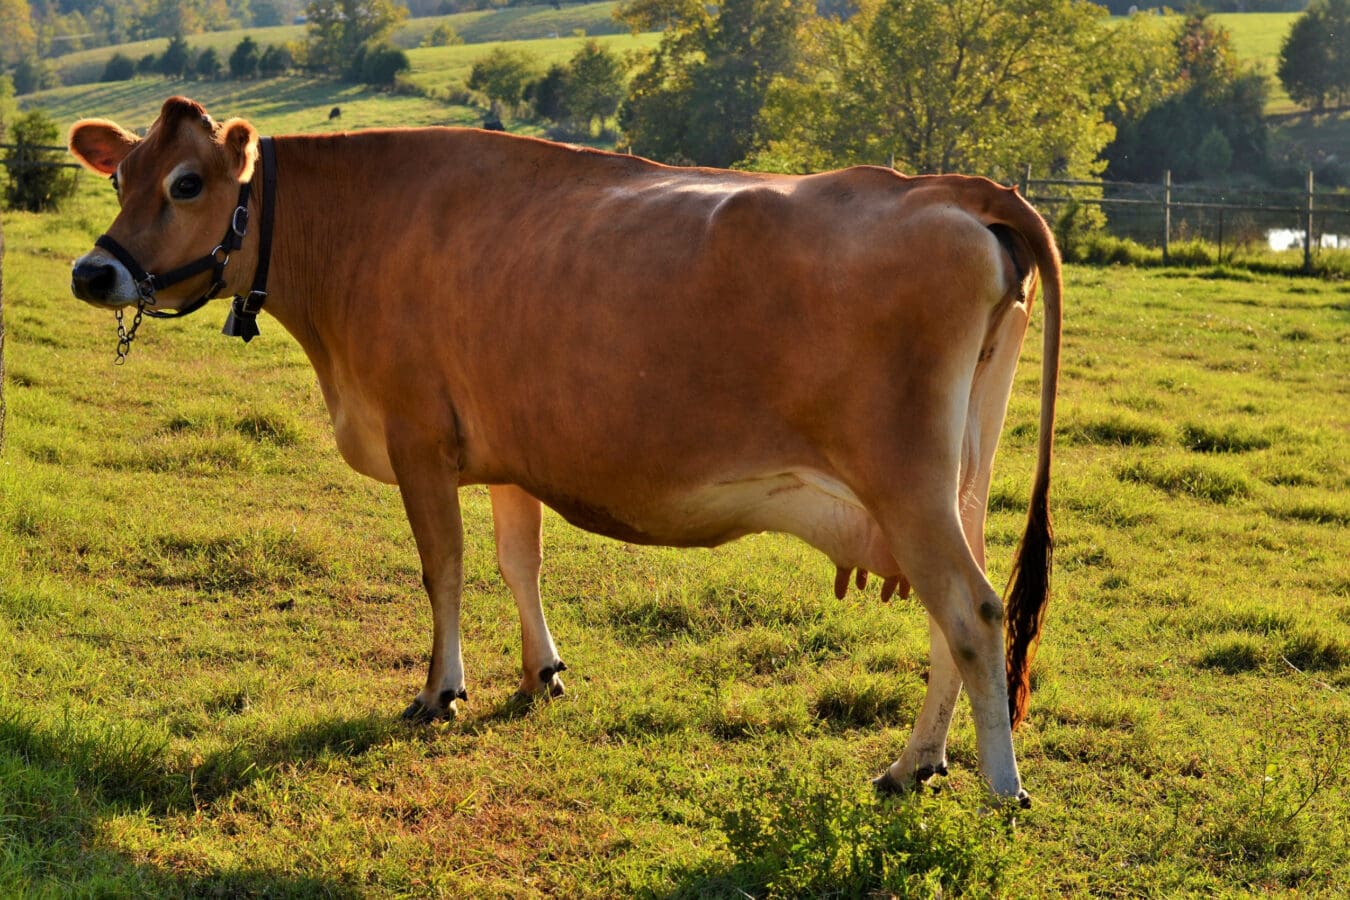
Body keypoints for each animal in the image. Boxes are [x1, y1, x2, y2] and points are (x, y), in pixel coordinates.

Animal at [68, 97, 1062, 806]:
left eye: (187, 183)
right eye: (119, 179)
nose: (92, 270)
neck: (354, 234)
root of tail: (947, 186)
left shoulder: (417, 436)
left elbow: (444, 567)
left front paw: (440, 691)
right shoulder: (510, 449)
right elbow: (519, 561)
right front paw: (539, 671)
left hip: (905, 482)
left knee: (973, 611)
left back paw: (997, 789)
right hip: (958, 478)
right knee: (954, 615)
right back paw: (917, 763)